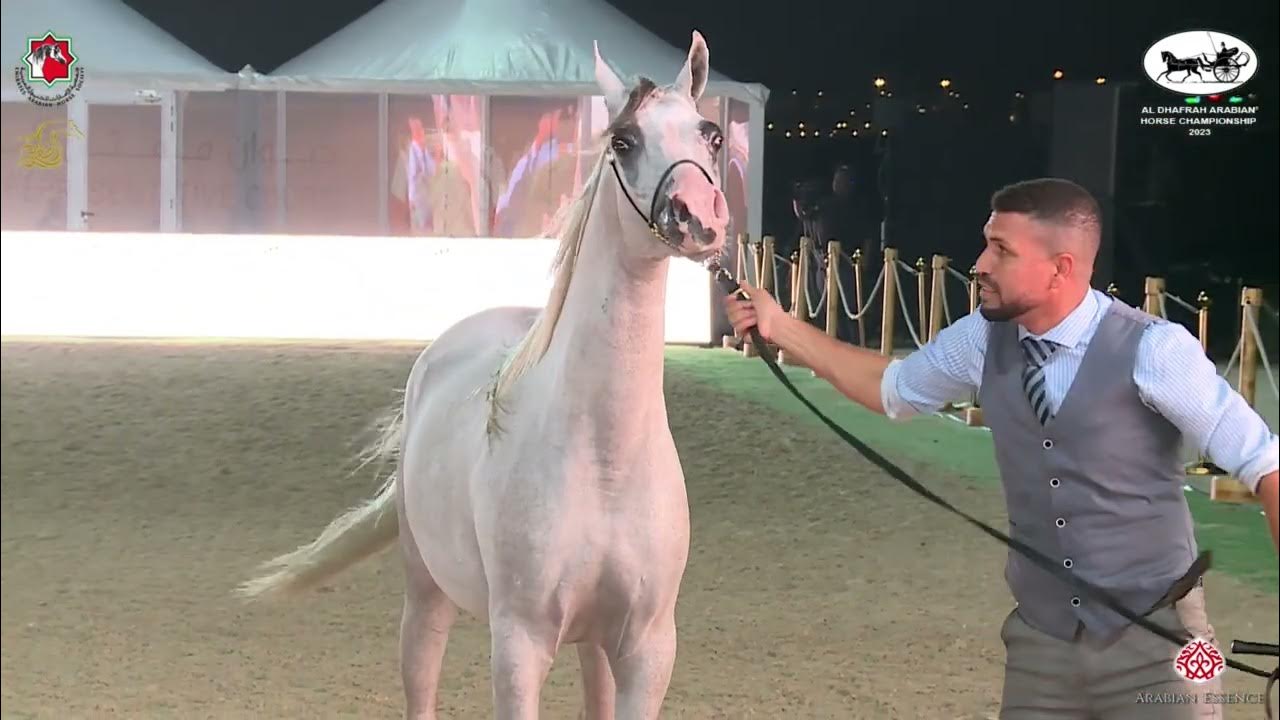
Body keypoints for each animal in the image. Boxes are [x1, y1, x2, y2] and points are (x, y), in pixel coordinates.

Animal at [236, 30, 730, 720]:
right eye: (623, 142)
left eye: (711, 134)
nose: (698, 214)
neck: (603, 459)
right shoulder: (519, 644)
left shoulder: (647, 649)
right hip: (426, 595)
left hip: (593, 643)